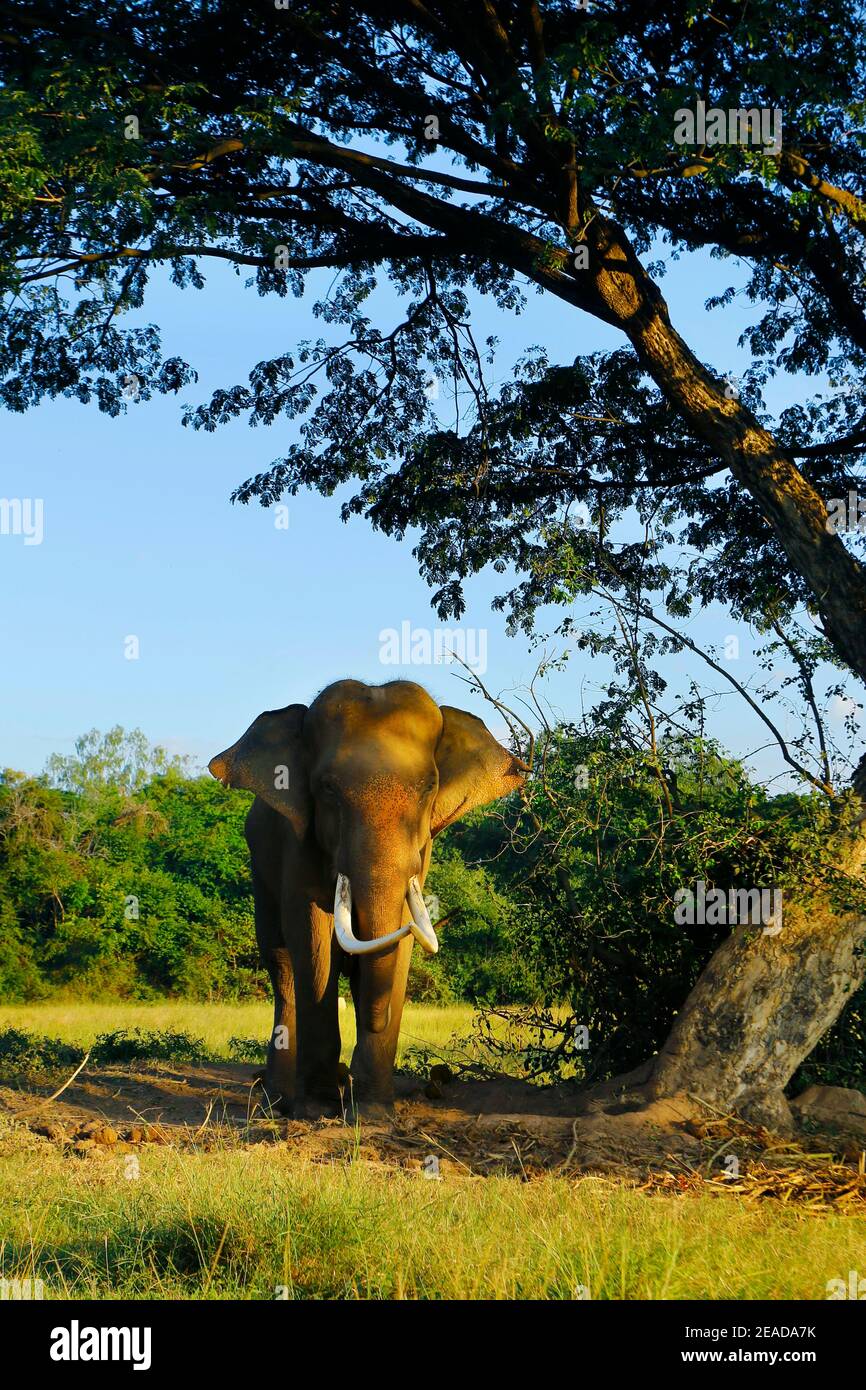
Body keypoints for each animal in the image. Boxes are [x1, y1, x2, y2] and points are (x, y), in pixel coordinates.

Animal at [208, 679, 525, 1116]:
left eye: (429, 788)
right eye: (327, 789)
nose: (350, 1079)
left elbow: (400, 938)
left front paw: (373, 1112)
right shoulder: (298, 841)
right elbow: (314, 940)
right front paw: (318, 1111)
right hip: (258, 865)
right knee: (282, 967)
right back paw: (279, 1100)